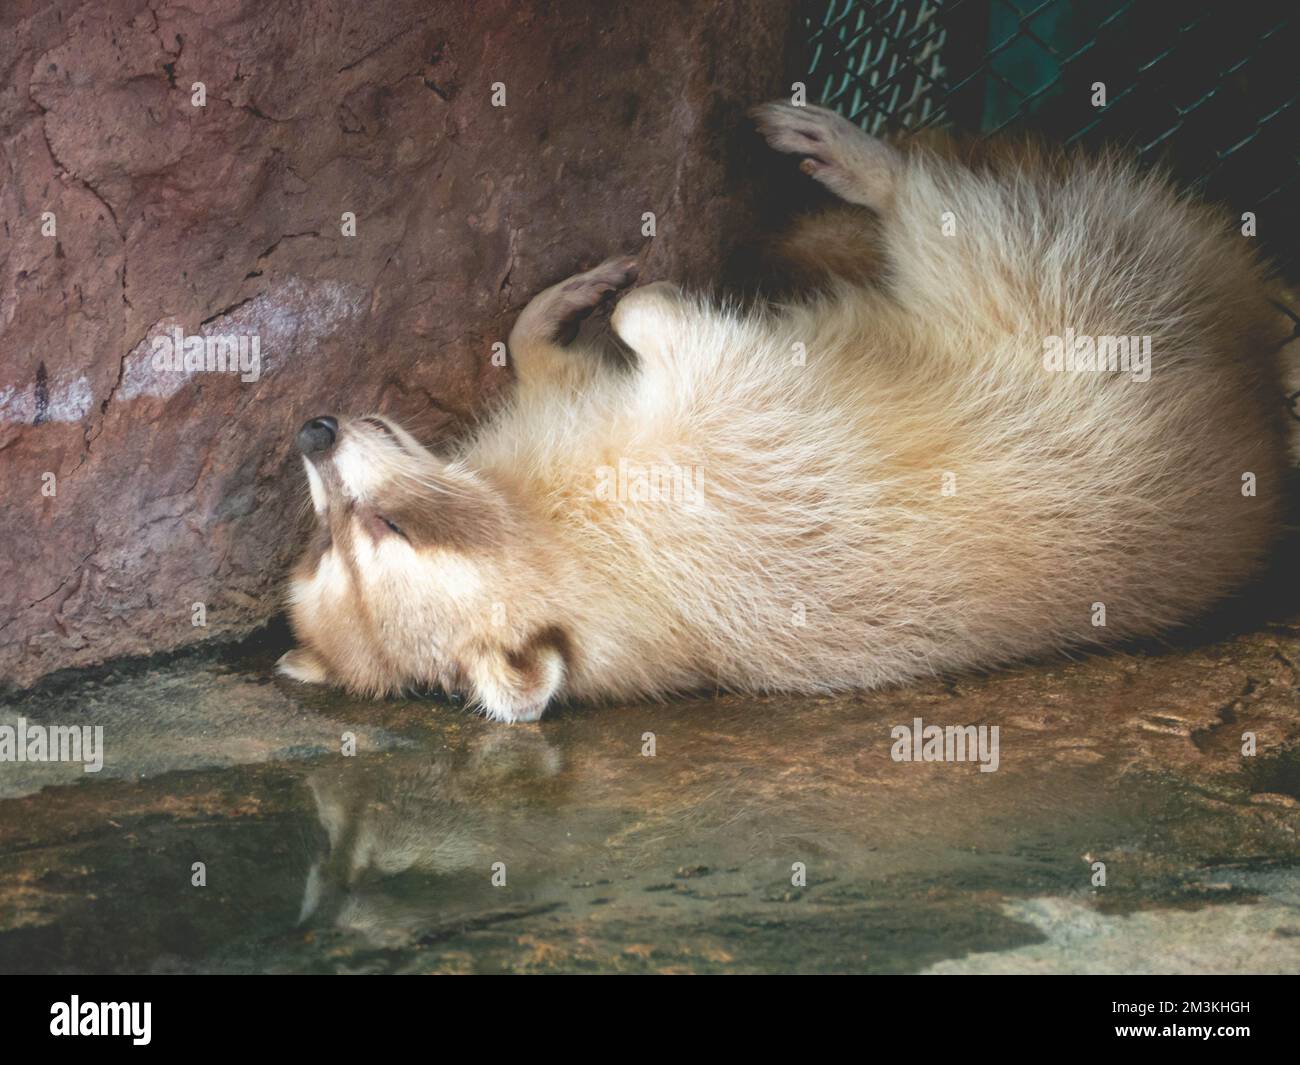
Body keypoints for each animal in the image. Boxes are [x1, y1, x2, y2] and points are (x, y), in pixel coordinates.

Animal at [278, 101, 1290, 723]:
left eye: (340, 534)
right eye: (367, 528)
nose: (312, 431)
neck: (530, 514)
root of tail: (1256, 425)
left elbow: (570, 357)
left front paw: (551, 323)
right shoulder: (712, 477)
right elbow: (697, 352)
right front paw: (646, 311)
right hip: (1073, 310)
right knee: (972, 235)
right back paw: (886, 178)